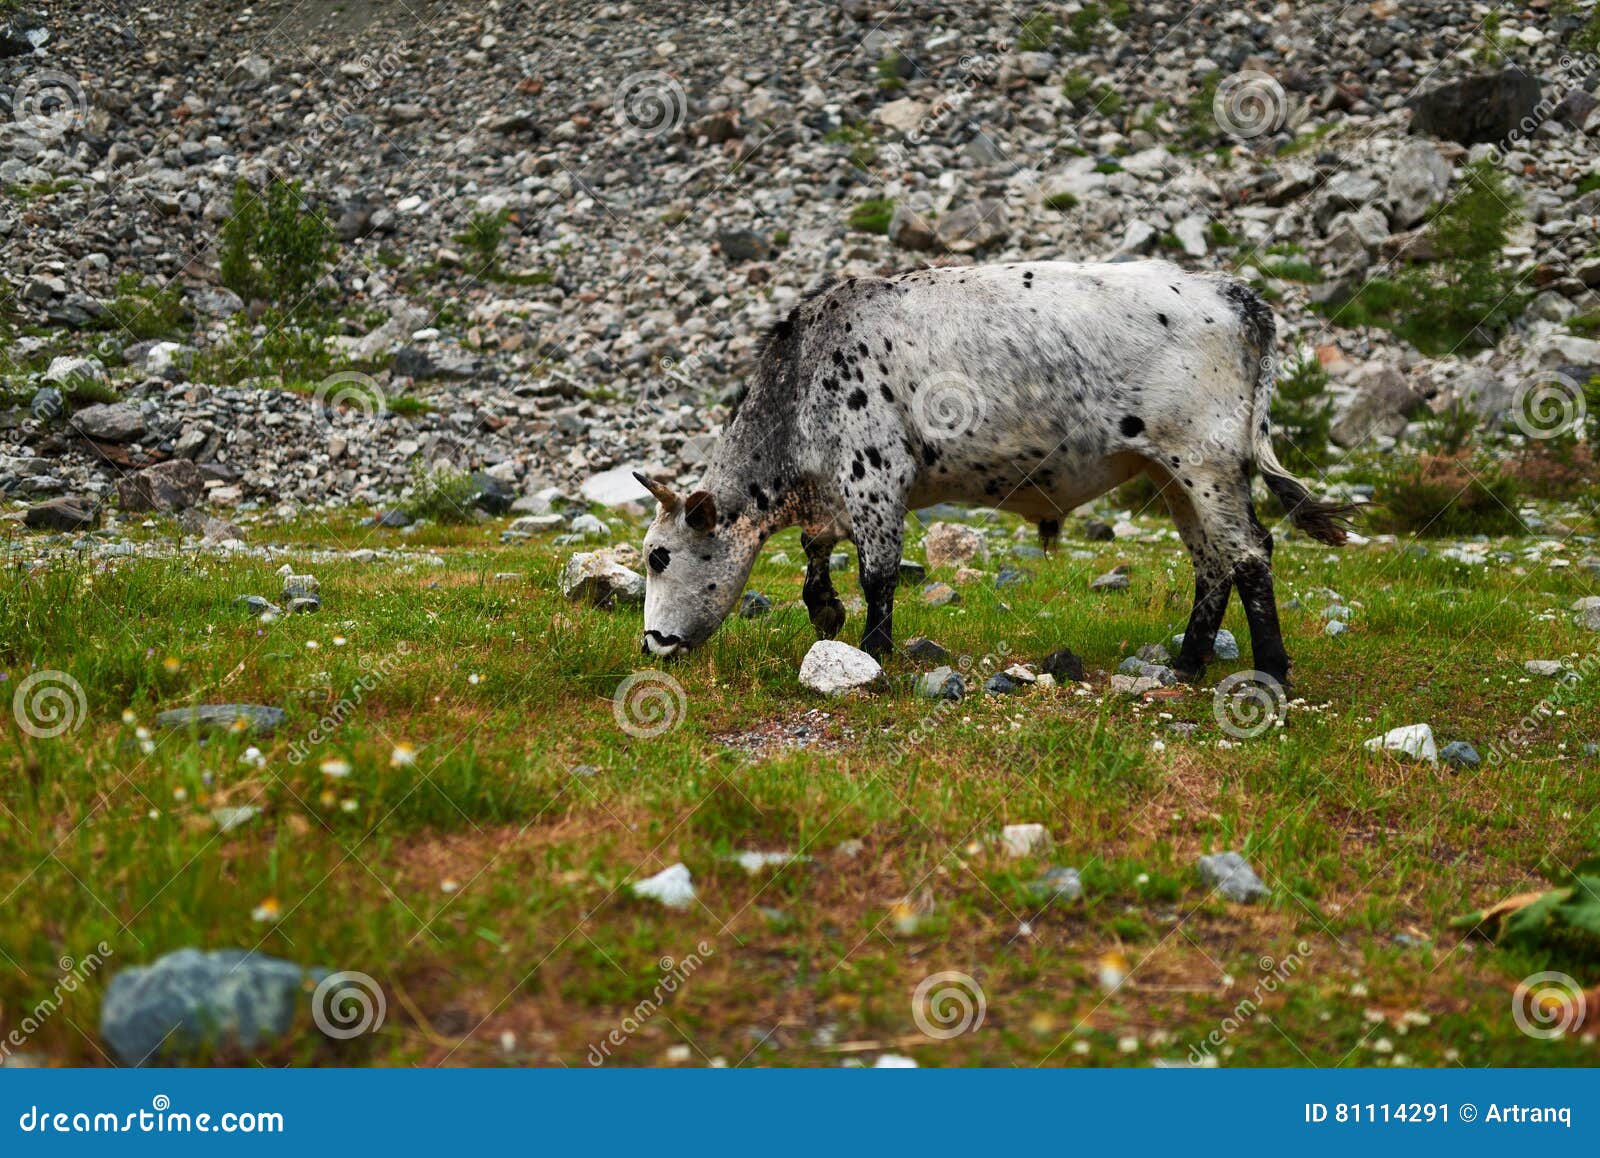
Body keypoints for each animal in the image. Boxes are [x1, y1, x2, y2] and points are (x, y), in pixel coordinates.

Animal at [634, 260, 1353, 694]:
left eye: (659, 556)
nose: (651, 644)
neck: (806, 375)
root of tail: (1235, 296)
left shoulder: (876, 478)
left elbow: (877, 575)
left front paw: (874, 653)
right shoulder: (835, 498)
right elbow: (818, 563)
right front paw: (827, 614)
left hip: (1206, 461)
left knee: (1250, 553)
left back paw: (1272, 672)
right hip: (1170, 474)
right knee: (1212, 564)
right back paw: (1186, 661)